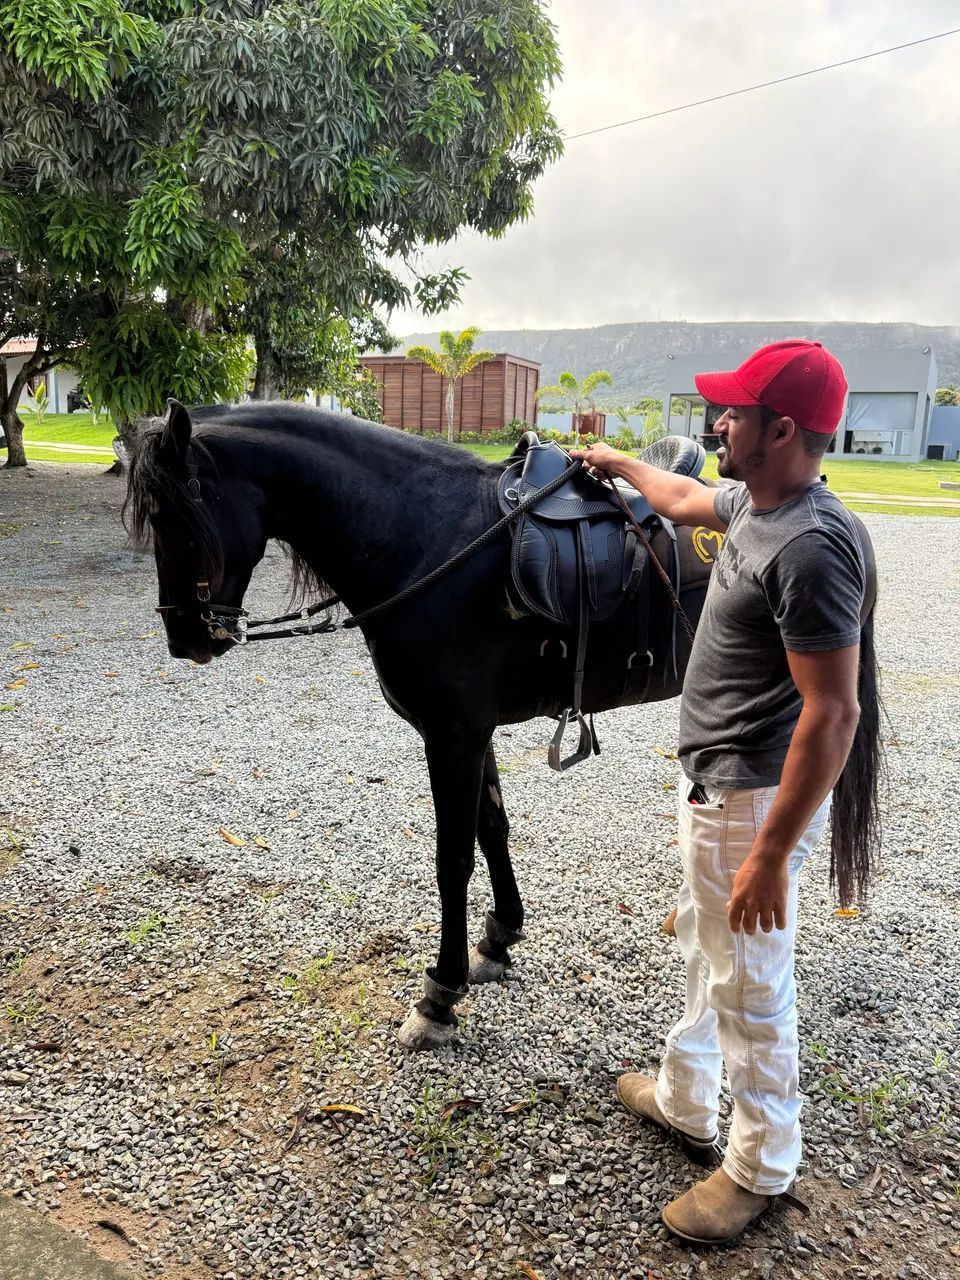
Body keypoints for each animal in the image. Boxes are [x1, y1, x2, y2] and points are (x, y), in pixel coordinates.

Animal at [124, 400, 881, 1050]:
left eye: (173, 515)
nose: (185, 639)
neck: (423, 538)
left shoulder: (452, 733)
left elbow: (452, 857)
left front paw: (440, 992)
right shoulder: (470, 730)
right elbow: (493, 828)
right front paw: (500, 935)